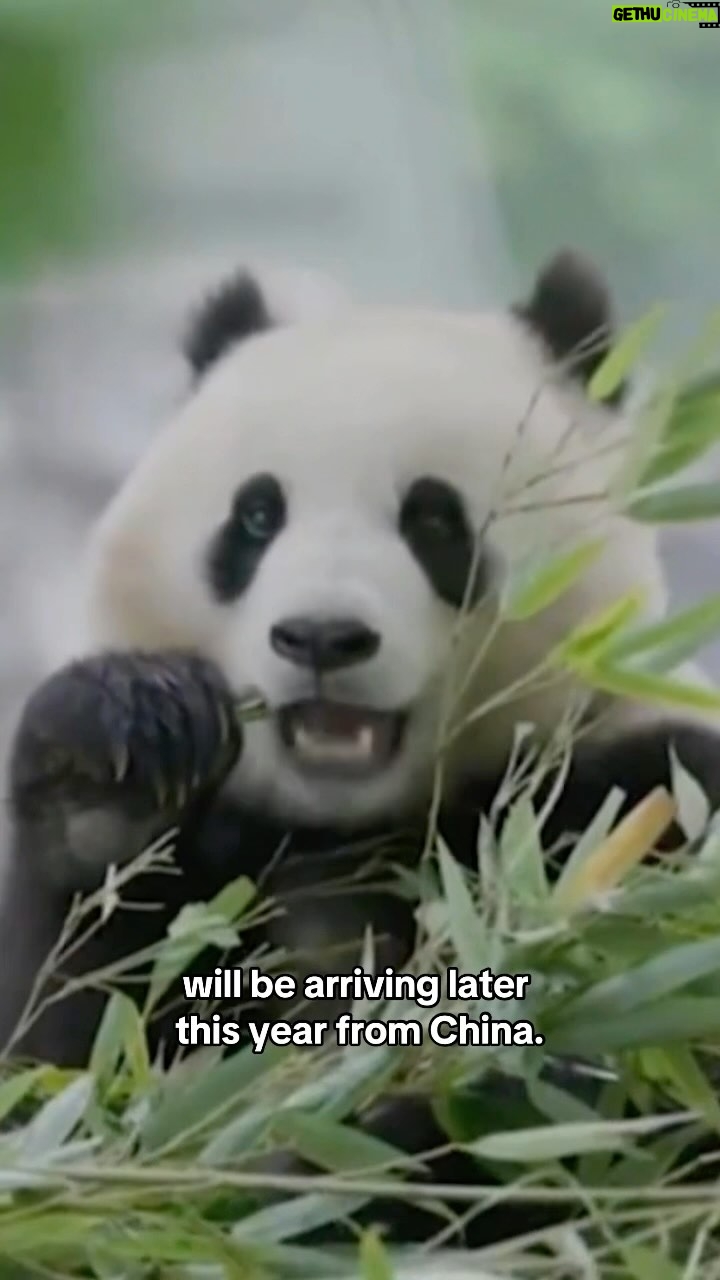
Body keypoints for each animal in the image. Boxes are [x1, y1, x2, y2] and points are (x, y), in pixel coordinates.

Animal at [2, 252, 720, 1260]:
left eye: (434, 522)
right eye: (256, 517)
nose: (322, 636)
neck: (346, 826)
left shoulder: (643, 802)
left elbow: (607, 1083)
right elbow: (67, 1053)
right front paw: (116, 760)